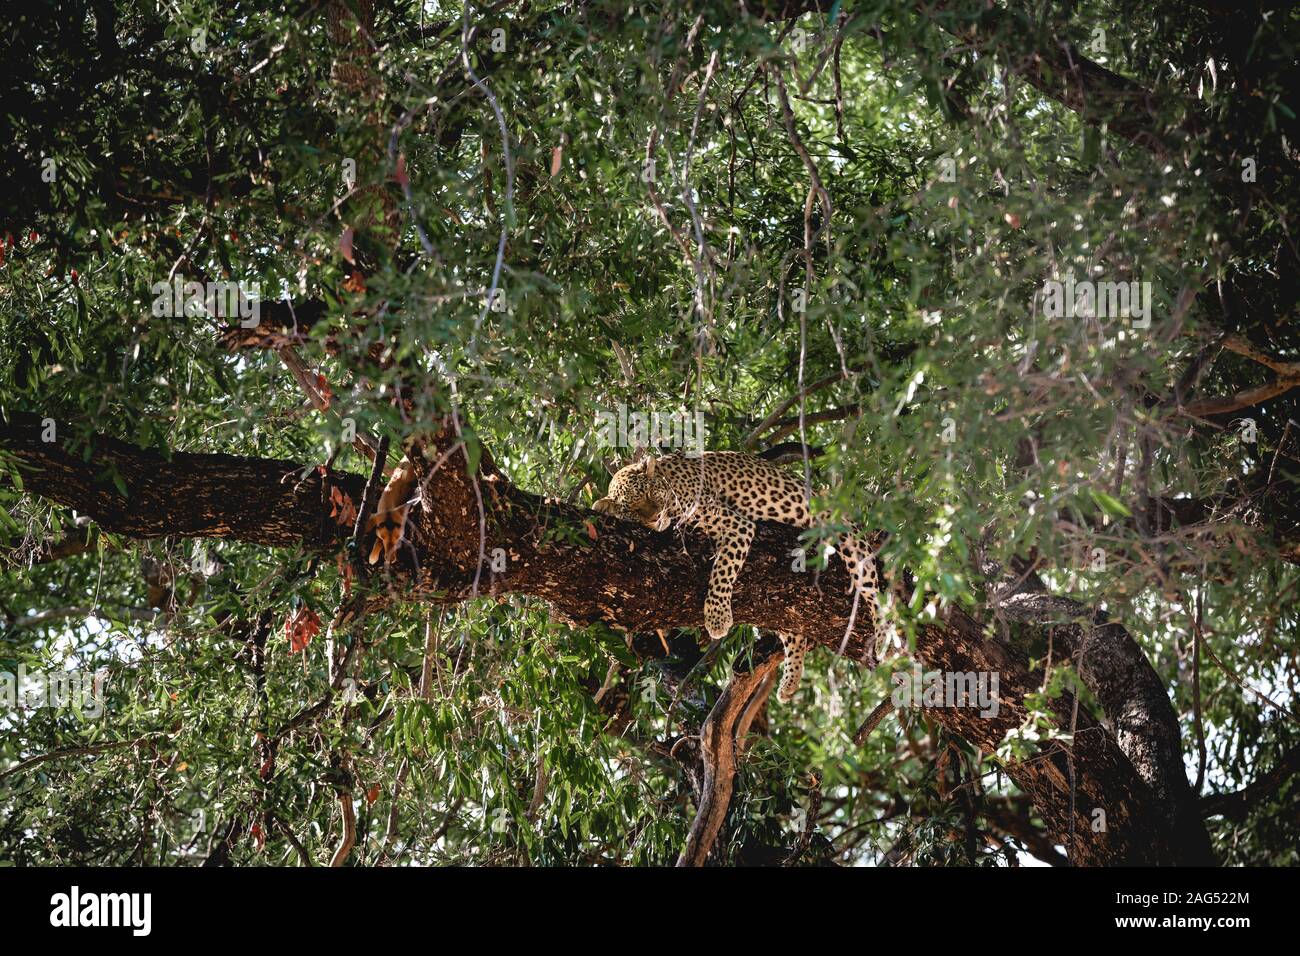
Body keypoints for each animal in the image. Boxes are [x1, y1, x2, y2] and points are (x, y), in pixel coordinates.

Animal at [592, 450, 882, 702]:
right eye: (632, 509)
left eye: (650, 493)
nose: (655, 517)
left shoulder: (737, 524)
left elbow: (723, 569)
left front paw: (717, 617)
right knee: (795, 634)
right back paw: (789, 682)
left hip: (850, 541)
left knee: (875, 593)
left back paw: (882, 640)